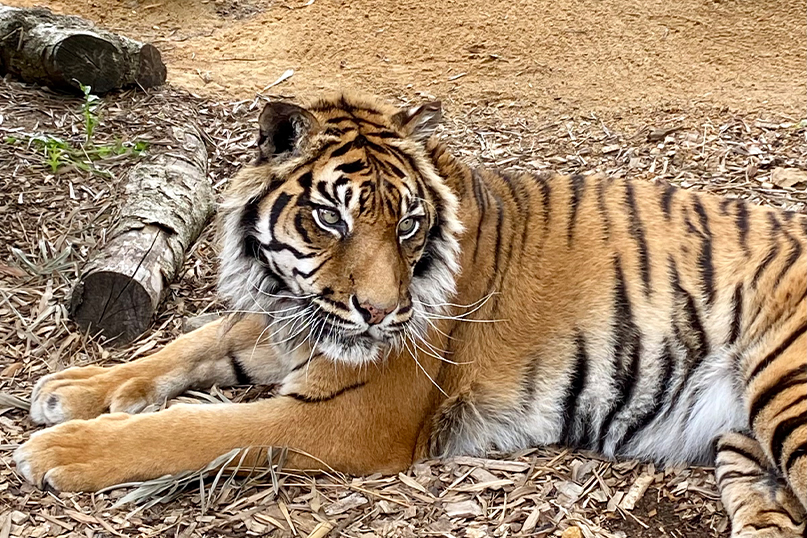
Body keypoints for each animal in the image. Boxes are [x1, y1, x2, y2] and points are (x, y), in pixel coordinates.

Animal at [15, 94, 806, 537]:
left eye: (407, 224)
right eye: (331, 219)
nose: (382, 314)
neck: (293, 299)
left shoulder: (347, 412)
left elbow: (199, 429)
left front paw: (61, 451)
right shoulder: (292, 321)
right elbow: (196, 341)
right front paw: (76, 387)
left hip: (783, 388)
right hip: (740, 449)